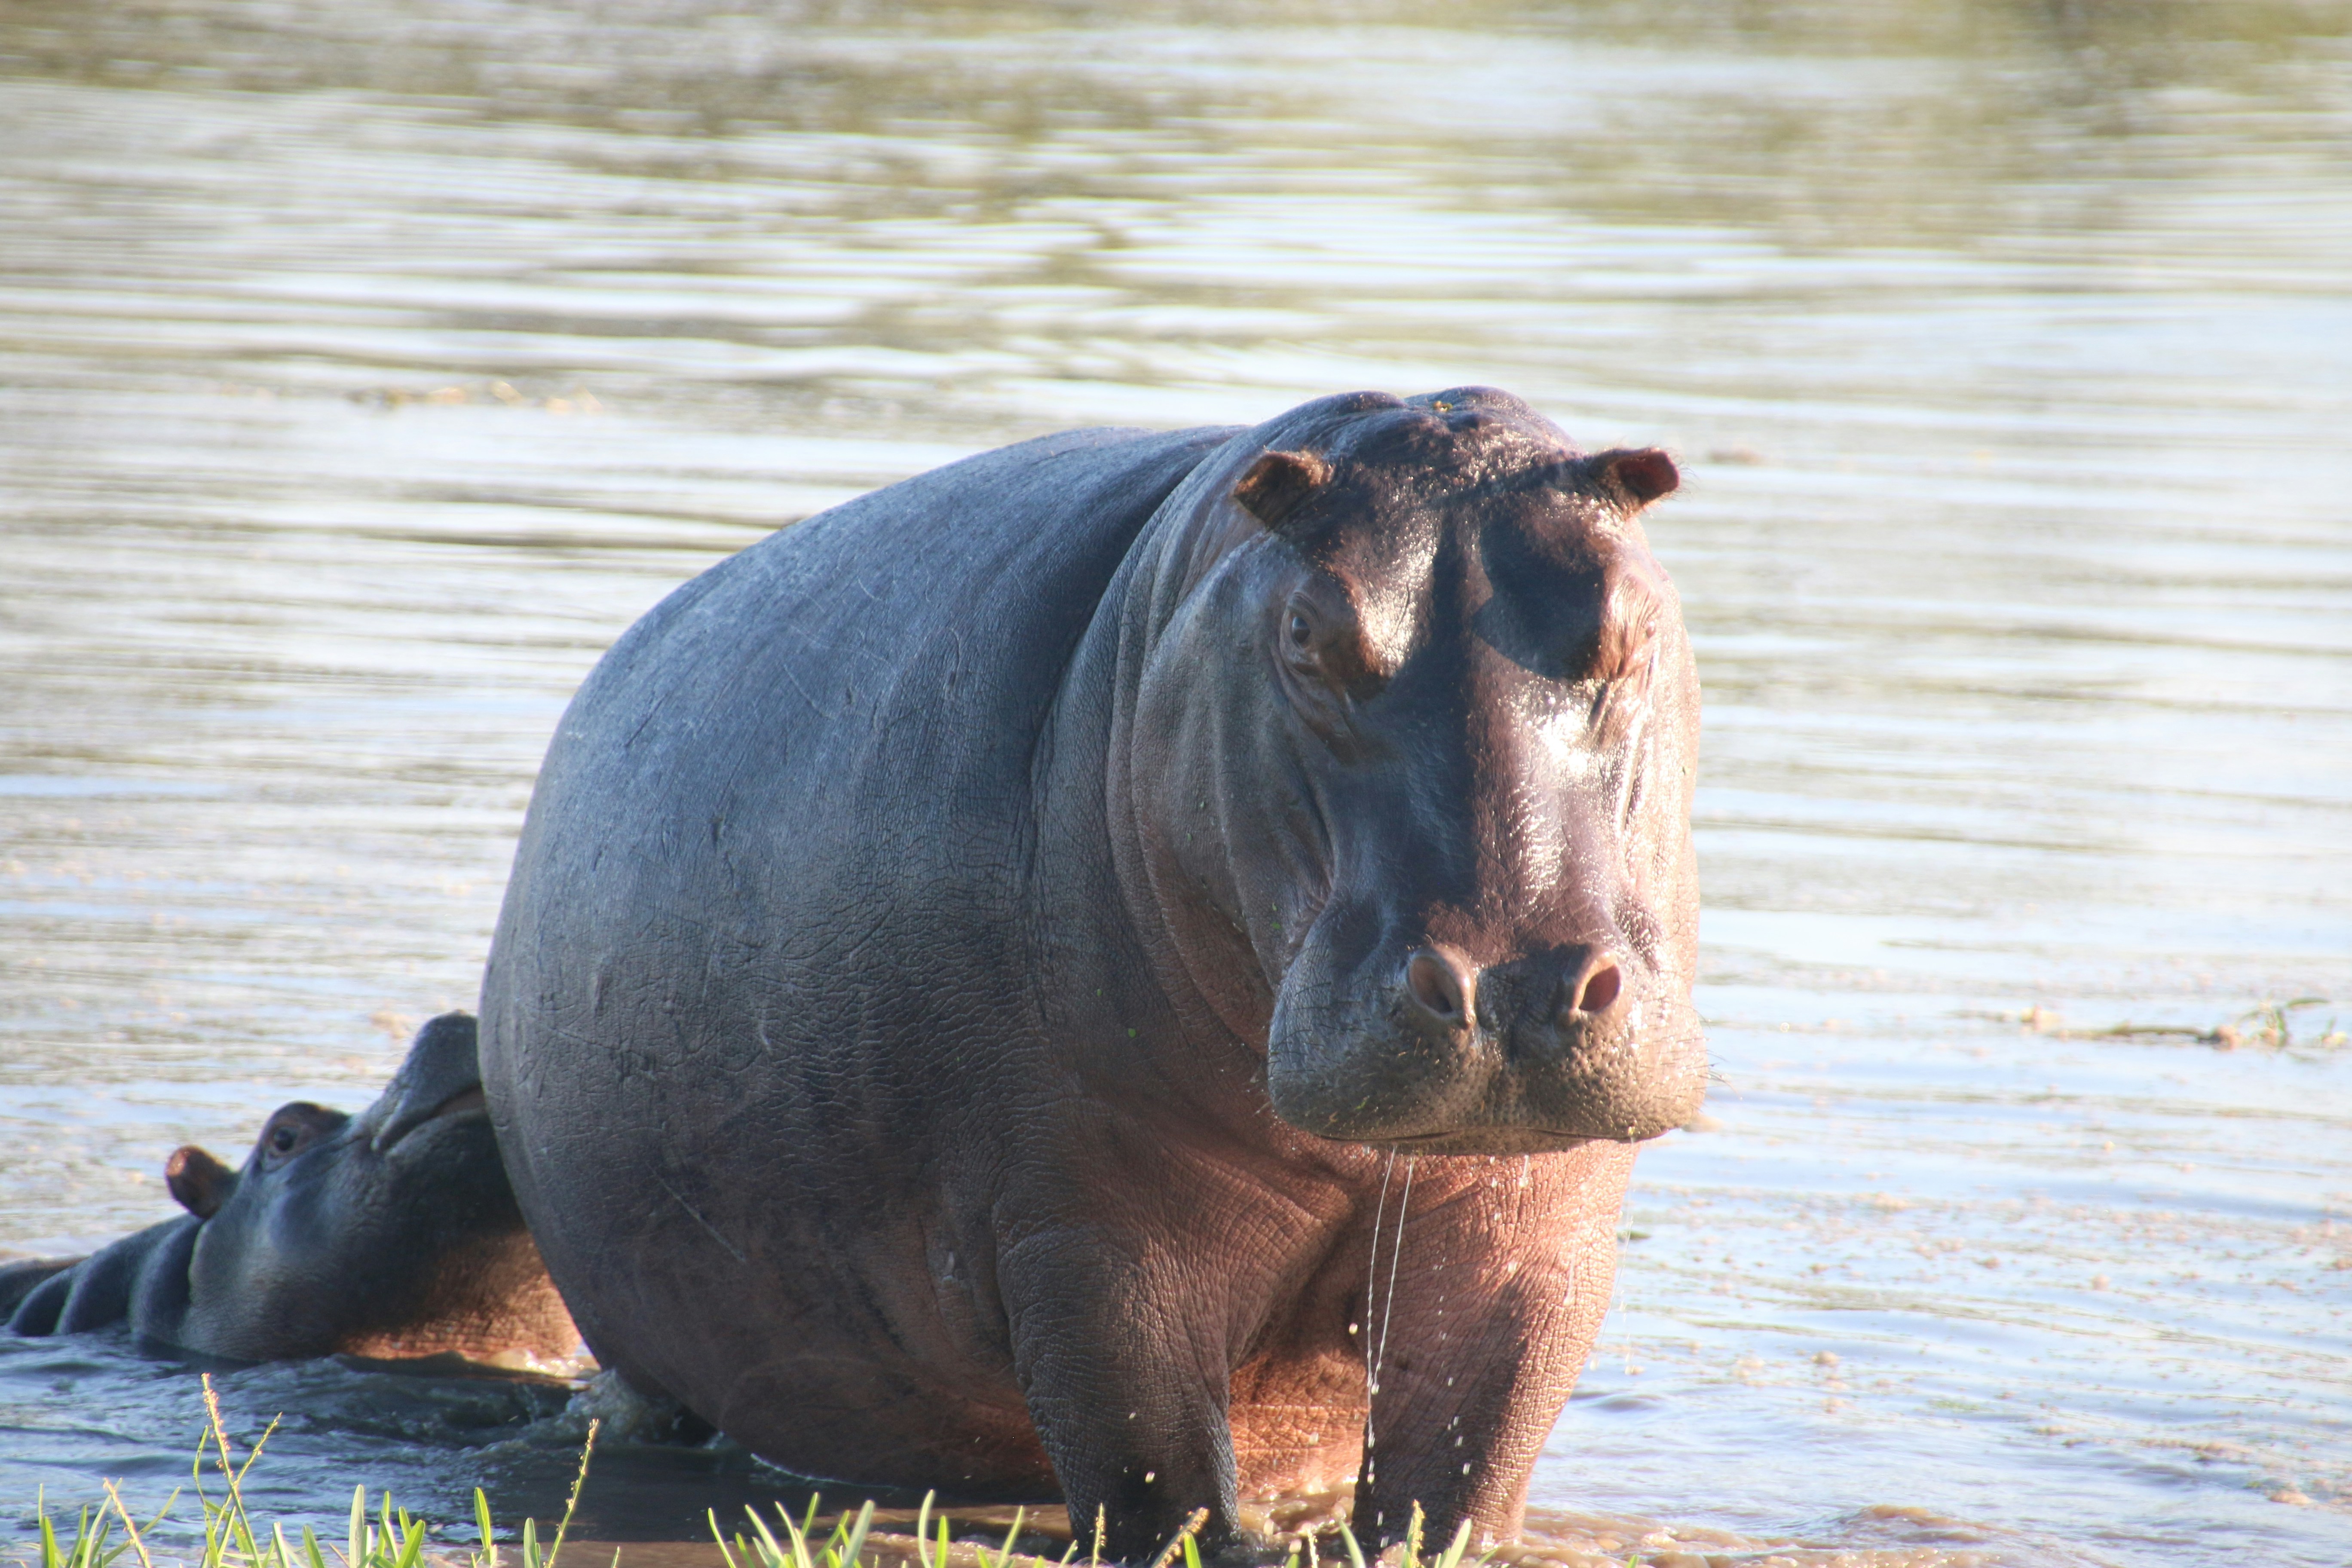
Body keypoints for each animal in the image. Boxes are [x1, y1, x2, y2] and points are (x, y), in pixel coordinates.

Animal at [481, 388, 1704, 1559]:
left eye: (1631, 624)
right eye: (1304, 630)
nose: (1510, 987)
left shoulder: (1538, 1237)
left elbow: (1466, 1454)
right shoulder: (1093, 1230)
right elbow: (1150, 1462)